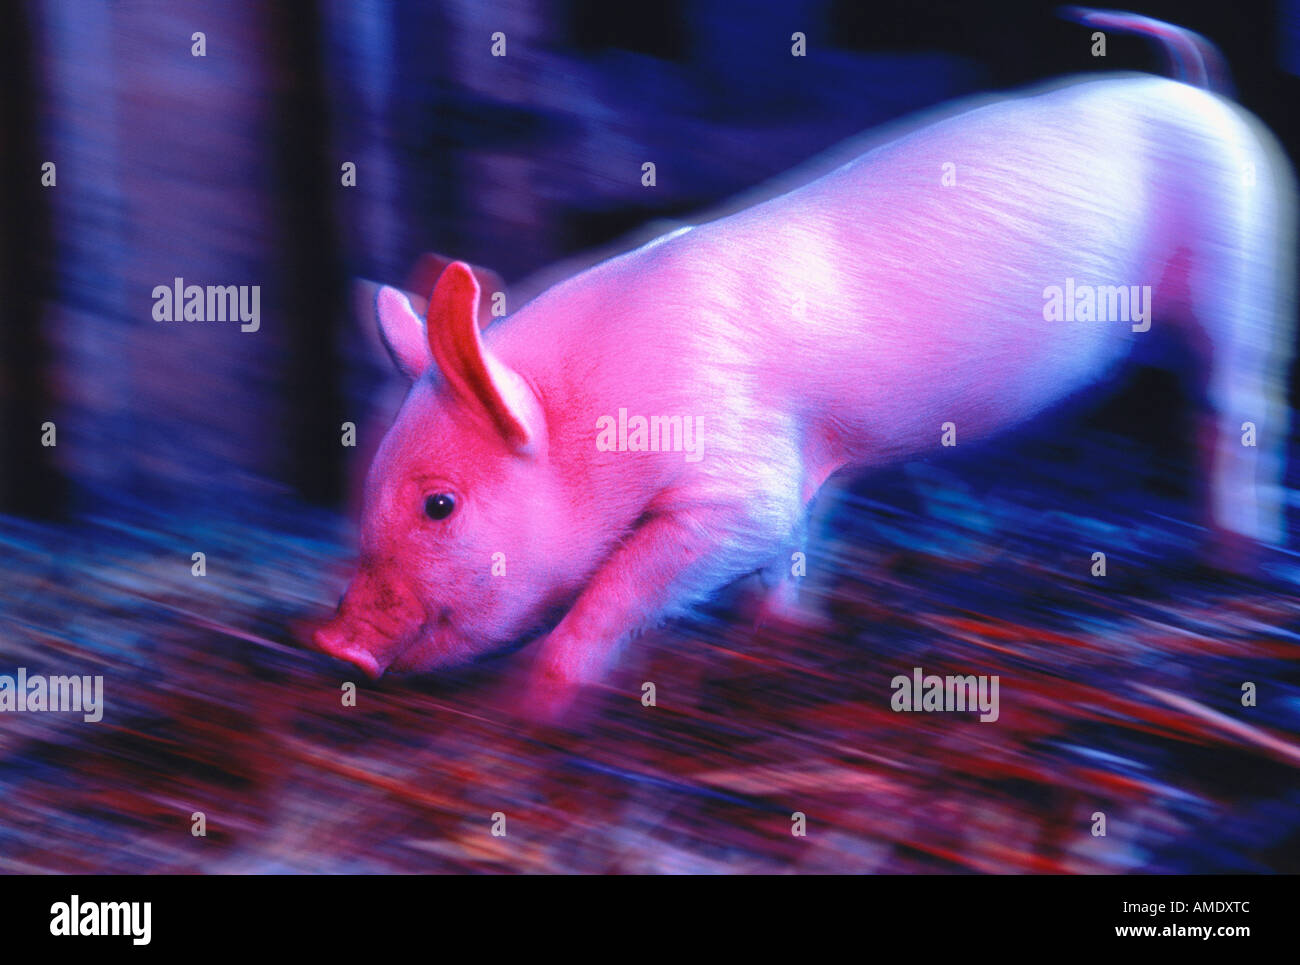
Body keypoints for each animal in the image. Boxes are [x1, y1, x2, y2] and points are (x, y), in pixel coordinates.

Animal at [315, 11, 1295, 713]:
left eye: (440, 505)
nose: (330, 641)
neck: (592, 413)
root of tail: (1201, 92)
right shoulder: (793, 464)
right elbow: (794, 546)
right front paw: (782, 636)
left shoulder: (731, 480)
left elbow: (634, 580)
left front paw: (536, 706)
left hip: (1236, 276)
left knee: (1240, 409)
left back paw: (1236, 556)